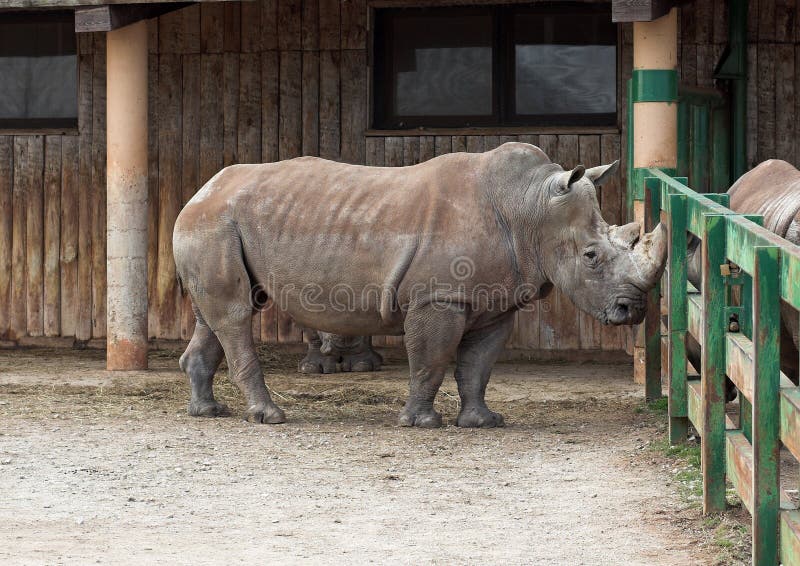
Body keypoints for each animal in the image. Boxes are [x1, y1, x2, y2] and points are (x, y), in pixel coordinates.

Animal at [173, 143, 667, 427]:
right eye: (591, 257)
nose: (633, 310)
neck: (531, 207)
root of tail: (198, 191)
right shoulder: (439, 296)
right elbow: (431, 359)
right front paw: (422, 423)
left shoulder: (495, 300)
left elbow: (478, 365)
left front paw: (483, 422)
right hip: (214, 222)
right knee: (236, 315)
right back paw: (270, 418)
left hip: (218, 223)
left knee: (215, 316)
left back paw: (207, 412)